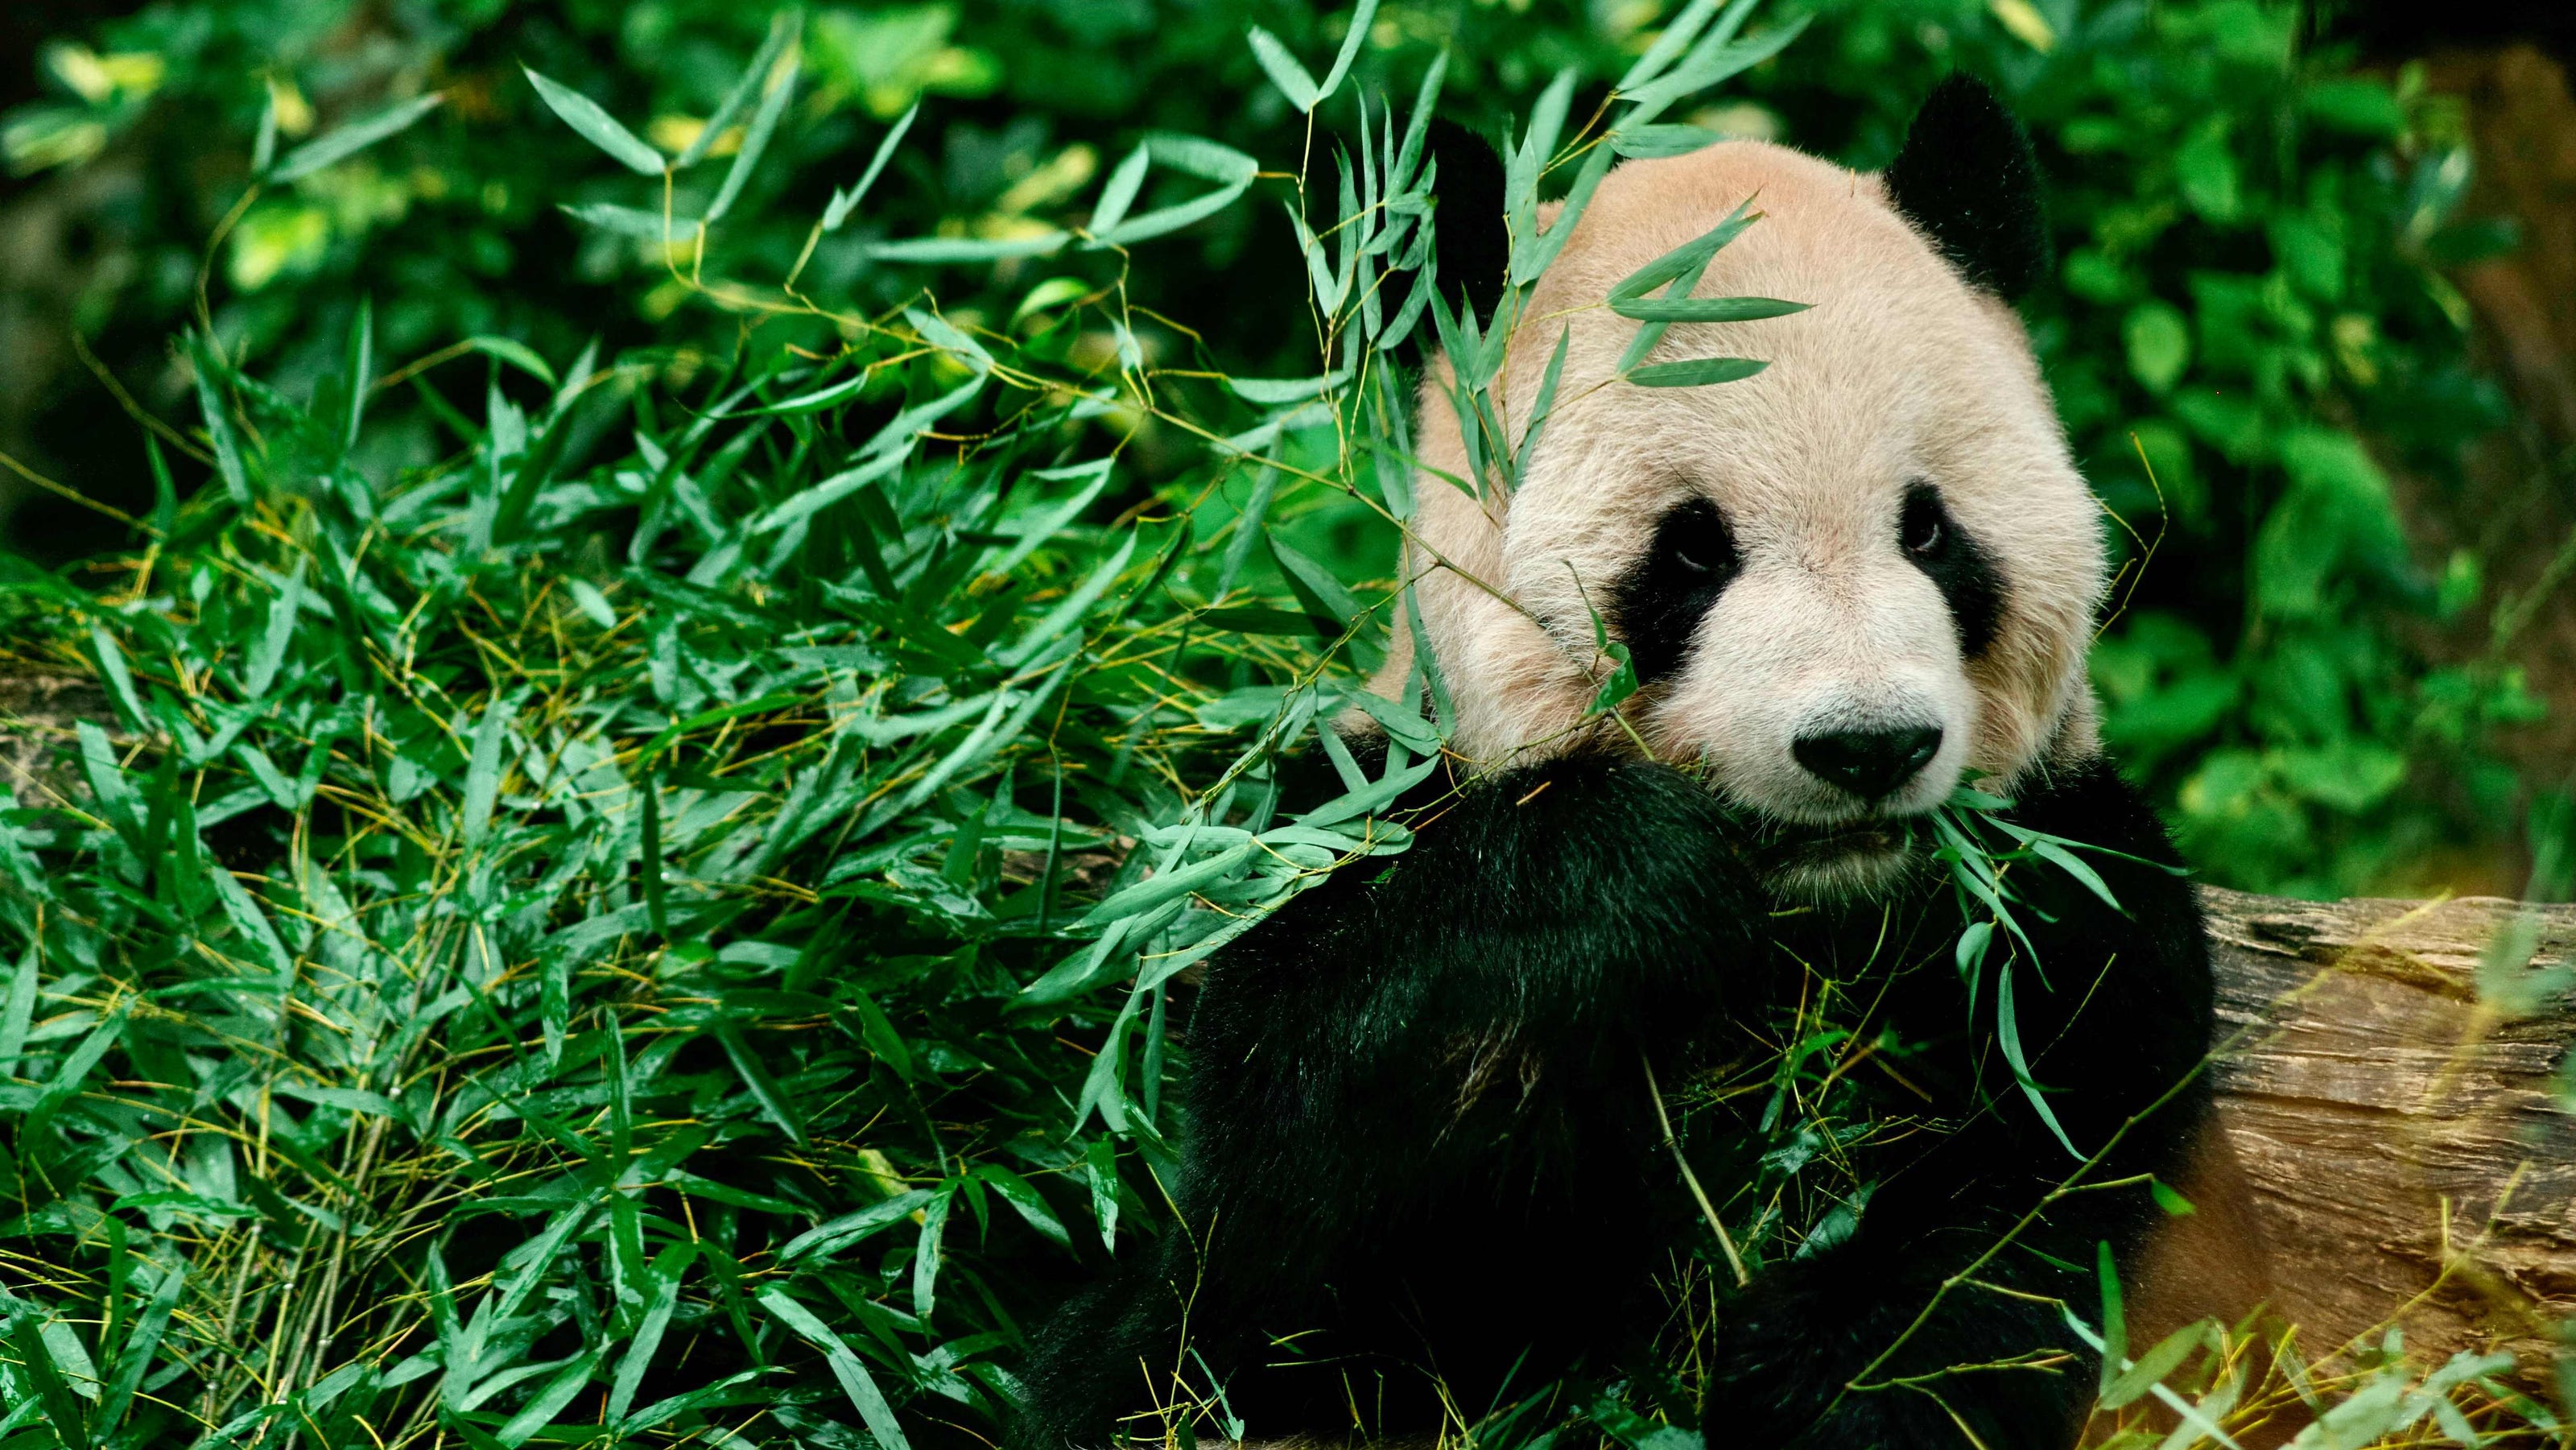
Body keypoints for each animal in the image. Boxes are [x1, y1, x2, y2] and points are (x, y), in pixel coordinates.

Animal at [1016, 76, 2256, 1450]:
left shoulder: (2072, 899)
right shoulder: (1341, 824)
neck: (1820, 916)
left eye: (1929, 530)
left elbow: (2033, 1196)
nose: (1866, 746)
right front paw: (1632, 874)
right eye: (1693, 550)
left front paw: (1819, 1372)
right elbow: (1260, 1248)